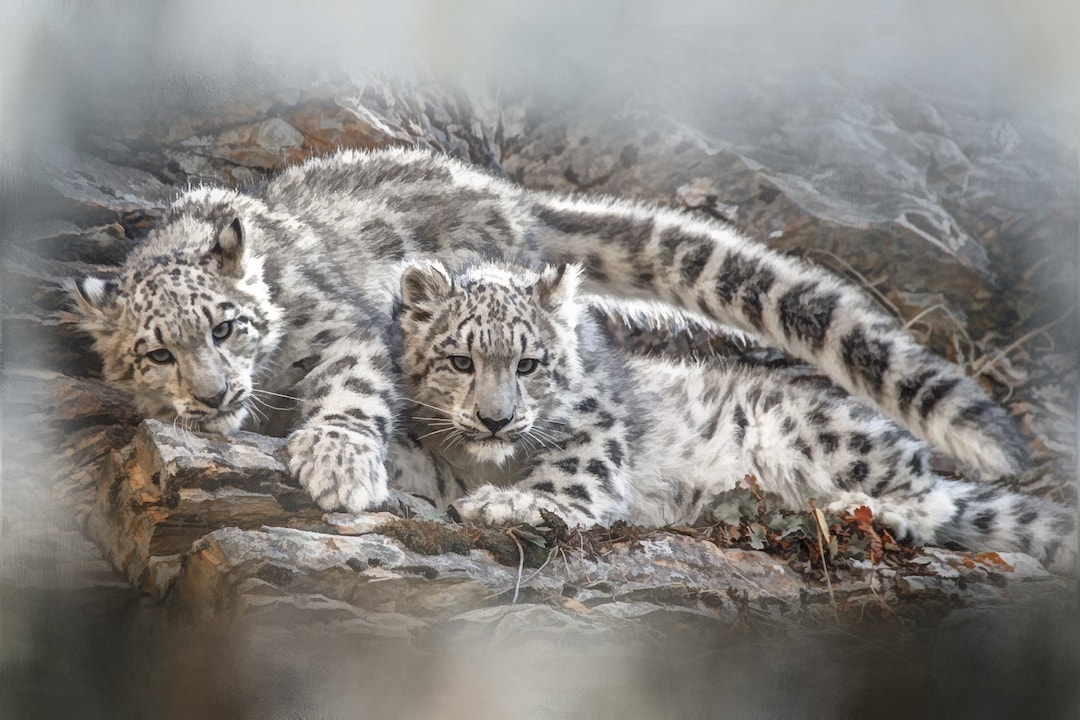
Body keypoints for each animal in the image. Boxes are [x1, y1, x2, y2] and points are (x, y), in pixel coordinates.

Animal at [71, 147, 1046, 551]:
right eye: (155, 355)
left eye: (228, 327)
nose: (211, 397)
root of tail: (511, 194)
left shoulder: (337, 329)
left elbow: (352, 390)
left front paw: (340, 463)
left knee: (920, 489)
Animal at [392, 259, 1078, 573]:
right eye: (460, 360)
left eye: (529, 363)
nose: (496, 419)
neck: (490, 461)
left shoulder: (591, 439)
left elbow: (567, 483)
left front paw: (502, 504)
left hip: (824, 437)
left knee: (932, 494)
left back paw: (865, 512)